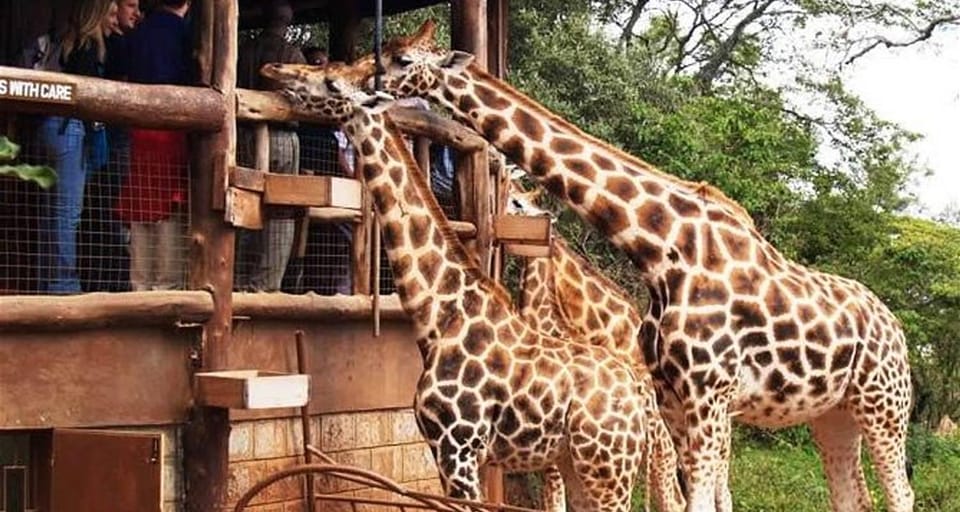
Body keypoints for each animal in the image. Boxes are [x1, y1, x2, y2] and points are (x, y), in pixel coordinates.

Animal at [260, 61, 653, 511]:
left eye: (330, 82)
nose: (275, 70)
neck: (439, 315)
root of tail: (637, 396)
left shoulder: (458, 446)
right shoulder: (448, 450)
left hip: (607, 466)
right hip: (578, 463)